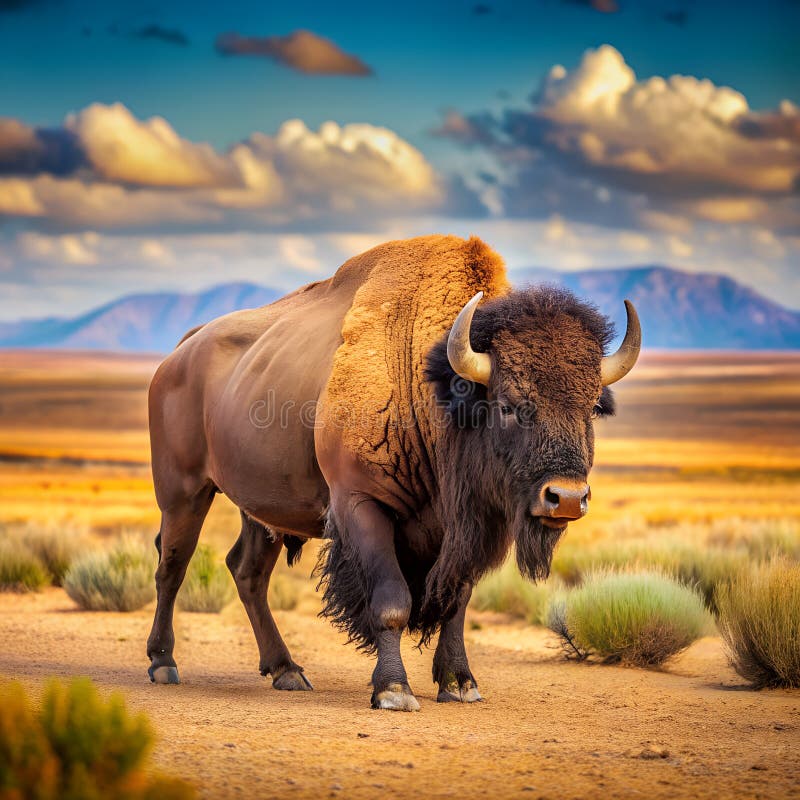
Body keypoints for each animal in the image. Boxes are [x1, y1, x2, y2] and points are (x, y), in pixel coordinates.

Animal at [146, 234, 641, 710]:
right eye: (507, 404)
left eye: (592, 407)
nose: (567, 498)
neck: (429, 389)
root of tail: (178, 355)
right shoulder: (362, 507)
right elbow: (391, 601)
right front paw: (394, 691)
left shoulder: (469, 529)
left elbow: (457, 603)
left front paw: (460, 684)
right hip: (185, 494)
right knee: (173, 564)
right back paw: (163, 663)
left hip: (261, 511)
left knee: (247, 572)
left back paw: (287, 671)